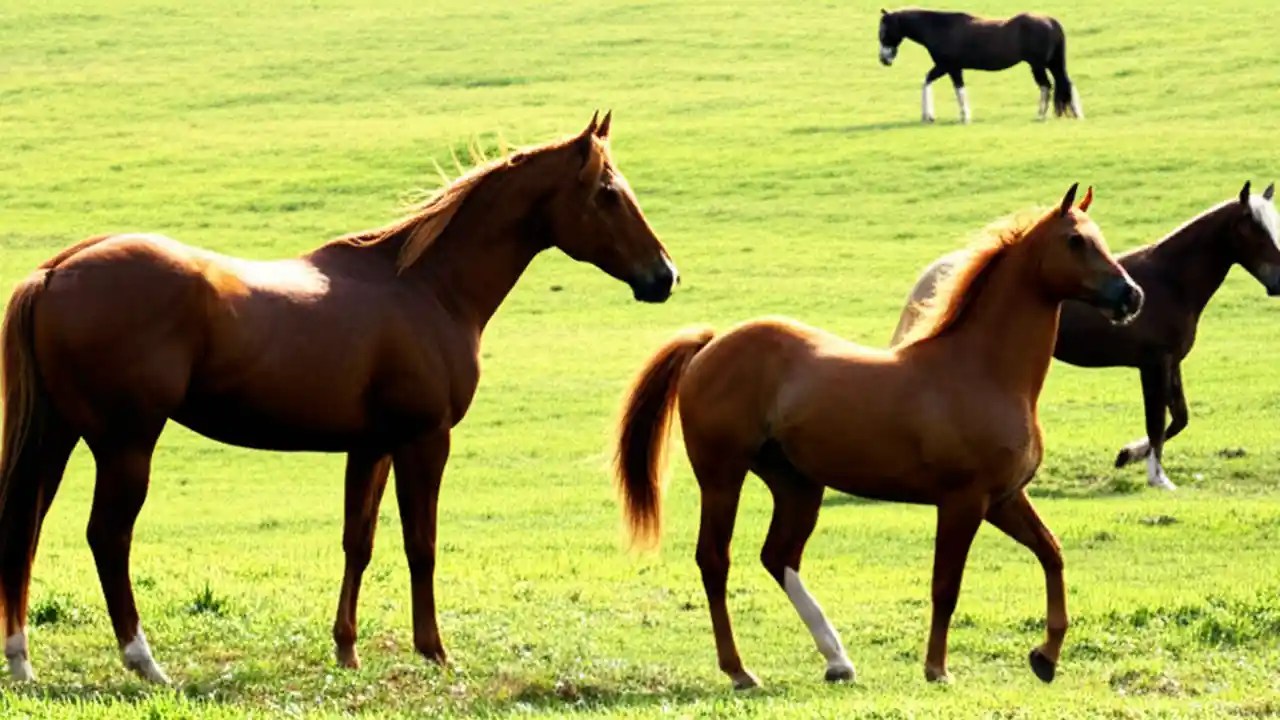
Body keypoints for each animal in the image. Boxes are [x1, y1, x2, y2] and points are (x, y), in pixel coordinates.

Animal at [0, 112, 678, 684]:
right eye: (608, 193)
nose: (664, 276)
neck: (427, 288)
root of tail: (56, 272)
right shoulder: (424, 440)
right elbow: (421, 544)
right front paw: (433, 649)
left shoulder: (371, 446)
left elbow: (360, 541)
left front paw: (347, 649)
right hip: (125, 444)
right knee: (107, 537)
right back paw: (144, 661)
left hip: (59, 436)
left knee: (25, 525)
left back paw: (21, 659)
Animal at [614, 185, 1142, 688]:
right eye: (1075, 241)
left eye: (1099, 237)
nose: (1131, 296)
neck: (982, 371)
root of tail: (709, 346)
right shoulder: (963, 502)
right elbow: (945, 585)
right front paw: (937, 669)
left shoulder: (1004, 499)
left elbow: (1051, 554)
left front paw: (1045, 658)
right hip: (723, 476)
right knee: (715, 560)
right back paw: (740, 671)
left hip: (797, 485)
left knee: (778, 556)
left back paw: (837, 661)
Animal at [877, 8, 1083, 124]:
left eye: (884, 30)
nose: (884, 60)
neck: (940, 28)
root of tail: (1050, 21)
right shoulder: (947, 68)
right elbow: (928, 82)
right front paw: (928, 116)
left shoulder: (949, 67)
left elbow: (957, 90)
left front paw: (964, 117)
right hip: (1053, 64)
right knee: (1065, 83)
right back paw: (1076, 114)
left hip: (1038, 65)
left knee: (1046, 86)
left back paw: (1040, 115)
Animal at [892, 182, 1280, 490]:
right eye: (1255, 229)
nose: (1277, 283)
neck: (1170, 280)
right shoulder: (1153, 364)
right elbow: (1157, 420)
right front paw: (1157, 478)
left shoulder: (1170, 363)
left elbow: (1179, 417)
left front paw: (1128, 455)